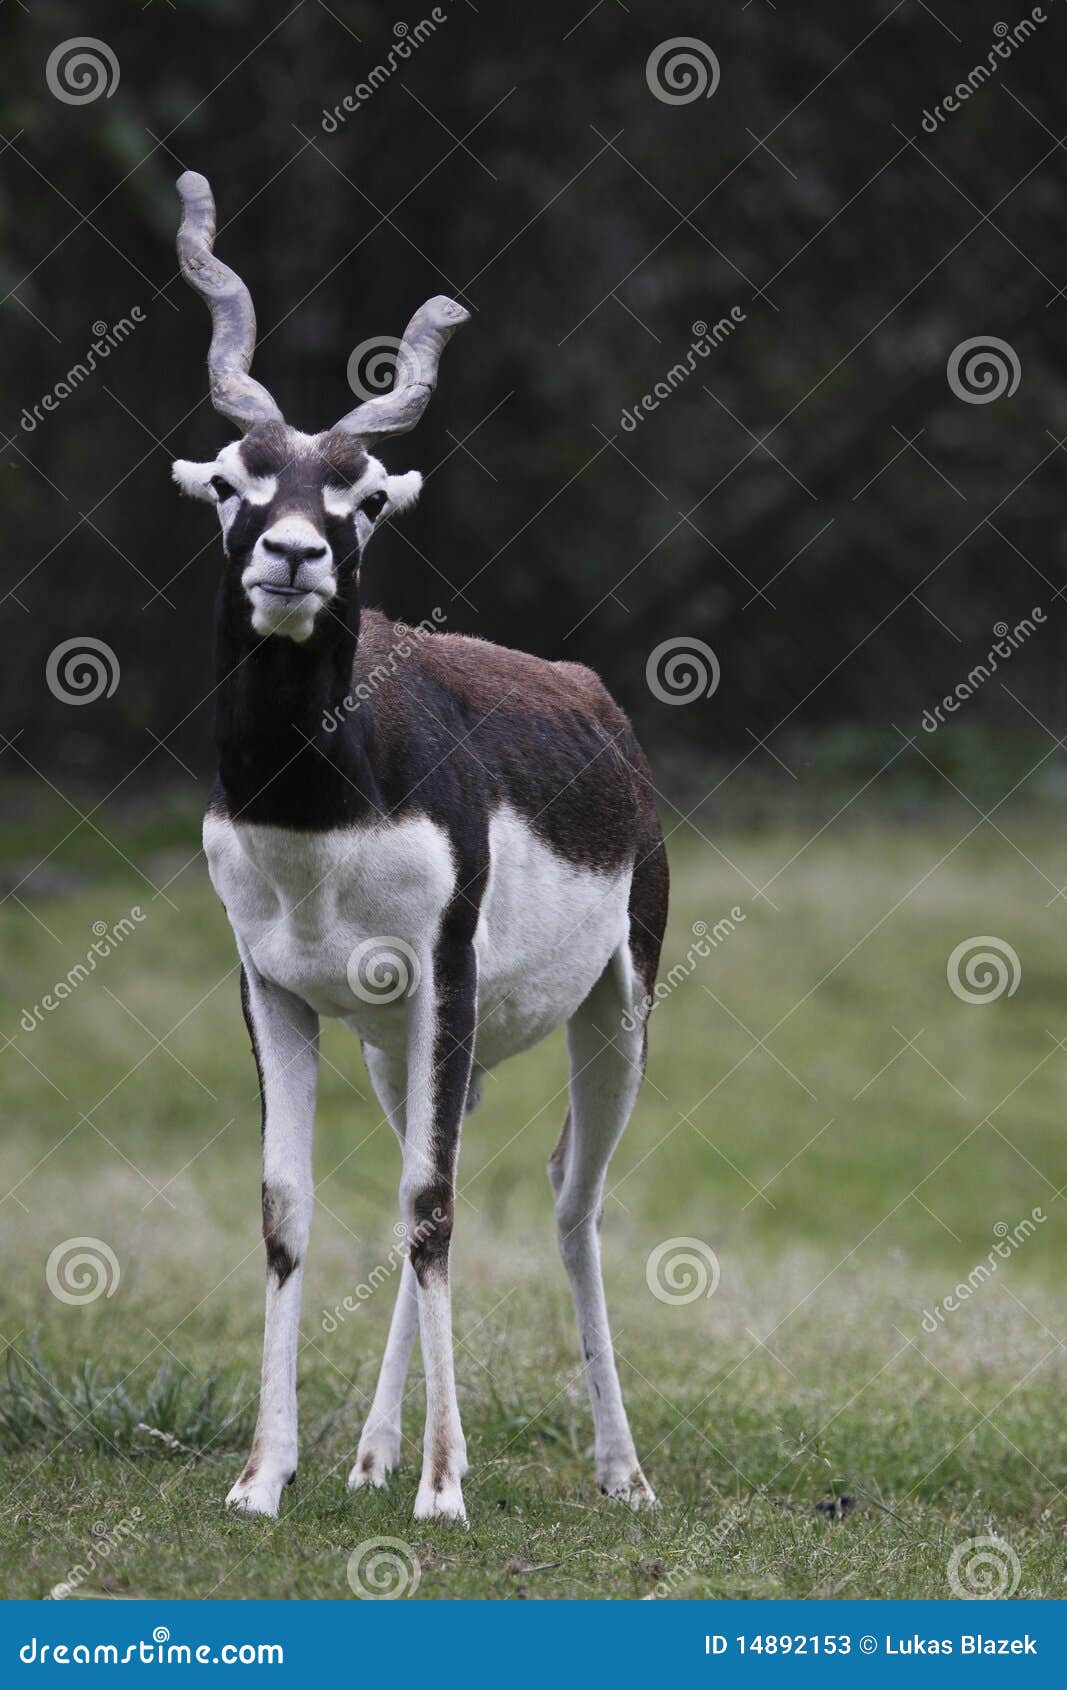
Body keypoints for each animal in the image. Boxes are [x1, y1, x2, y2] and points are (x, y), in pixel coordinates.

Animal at [171, 172, 669, 1522]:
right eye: (234, 481)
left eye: (360, 498)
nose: (292, 555)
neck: (321, 801)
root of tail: (595, 700)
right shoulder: (274, 991)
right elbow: (294, 1210)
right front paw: (265, 1475)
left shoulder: (445, 973)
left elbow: (436, 1207)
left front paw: (445, 1489)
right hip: (403, 1047)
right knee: (422, 1182)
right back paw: (369, 1450)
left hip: (610, 1013)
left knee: (567, 1196)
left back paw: (619, 1470)